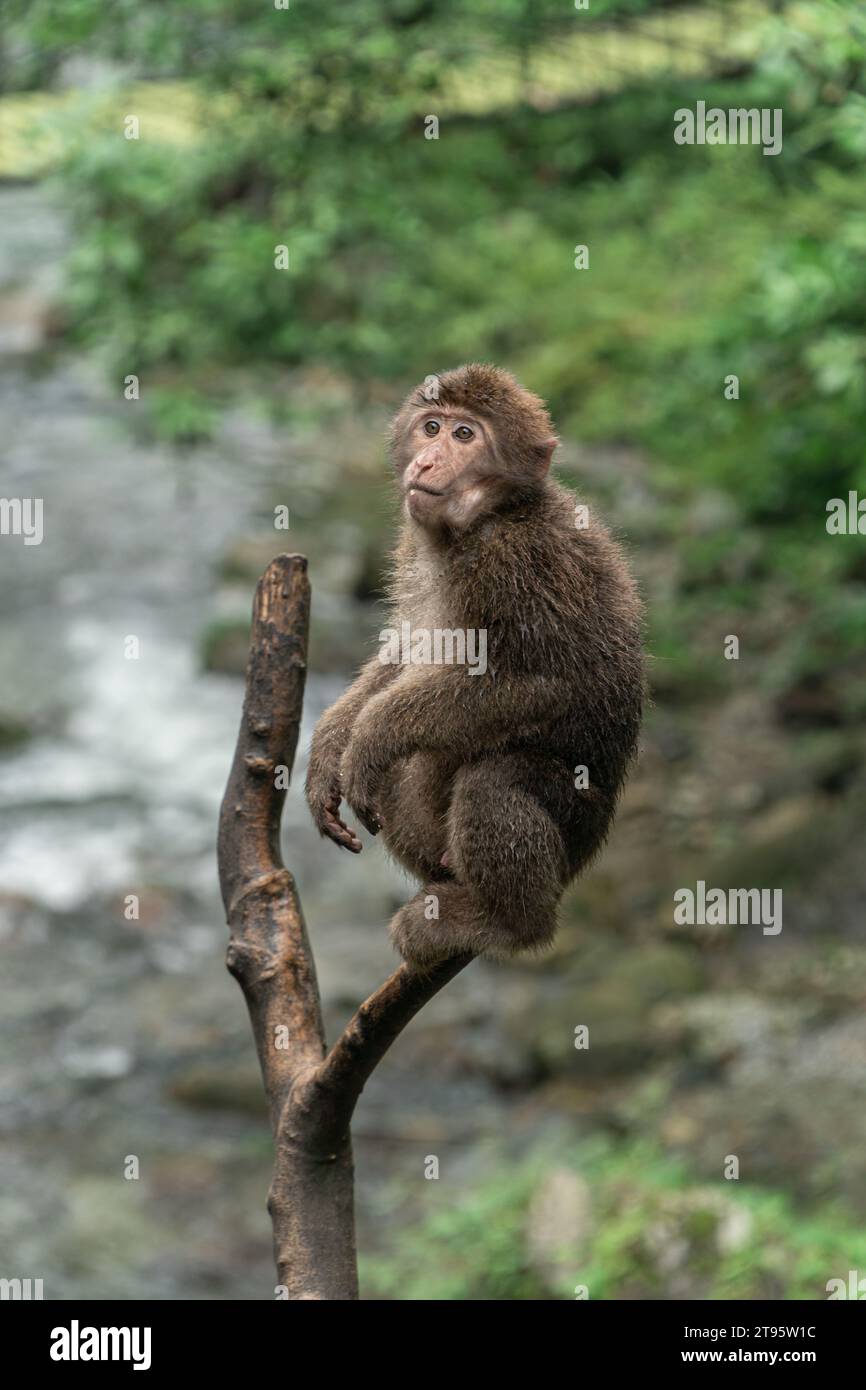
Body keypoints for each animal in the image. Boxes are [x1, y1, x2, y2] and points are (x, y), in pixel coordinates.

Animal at [305, 364, 644, 968]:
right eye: (431, 427)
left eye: (465, 436)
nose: (426, 462)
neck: (486, 518)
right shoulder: (414, 549)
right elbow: (405, 646)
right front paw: (329, 748)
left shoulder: (517, 562)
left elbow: (546, 684)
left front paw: (372, 734)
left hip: (577, 827)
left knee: (495, 780)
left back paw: (507, 925)